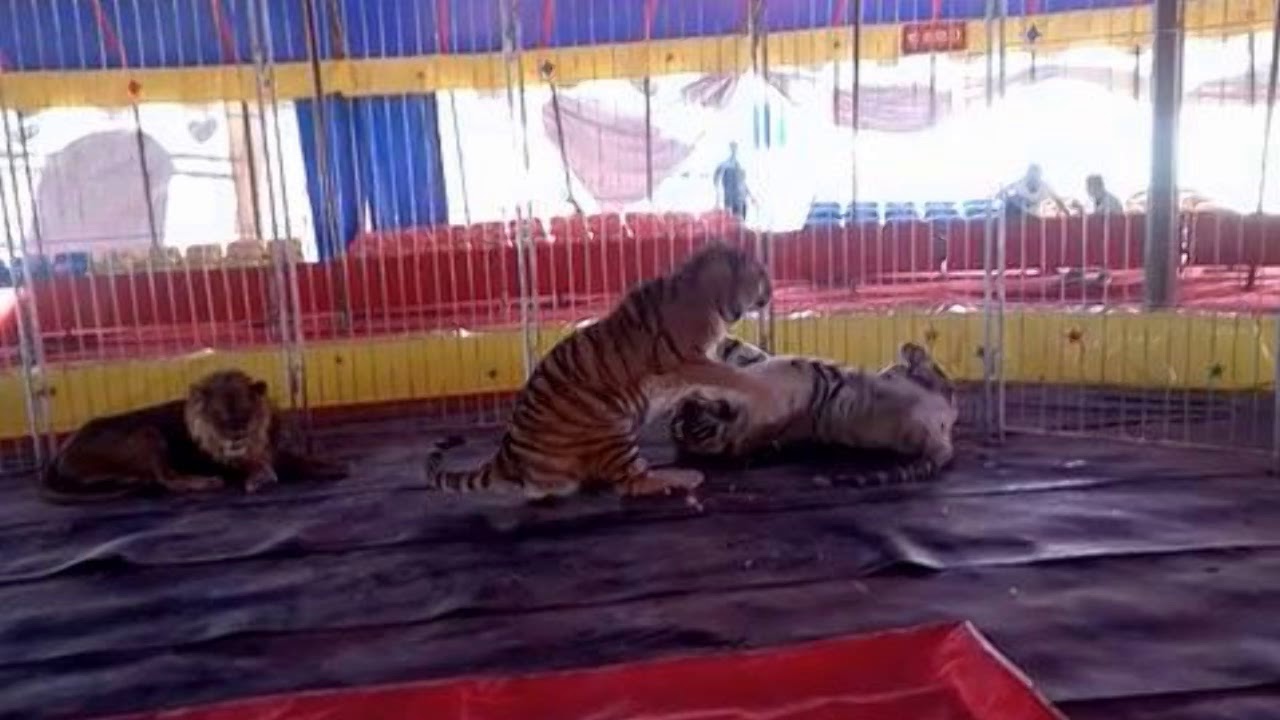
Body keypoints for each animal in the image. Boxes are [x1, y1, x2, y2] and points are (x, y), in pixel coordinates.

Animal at [40, 370, 347, 503]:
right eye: (219, 416)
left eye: (245, 413)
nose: (236, 437)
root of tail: (59, 453)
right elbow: (267, 469)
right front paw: (258, 480)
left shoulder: (275, 450)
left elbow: (302, 460)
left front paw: (334, 467)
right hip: (146, 433)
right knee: (167, 480)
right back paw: (206, 482)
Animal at [424, 242, 778, 499]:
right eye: (762, 274)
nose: (772, 292)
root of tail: (507, 454)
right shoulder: (687, 360)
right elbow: (732, 375)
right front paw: (763, 389)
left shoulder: (702, 360)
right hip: (609, 425)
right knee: (631, 482)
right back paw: (683, 477)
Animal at [669, 337, 958, 486]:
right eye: (701, 429)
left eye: (693, 418)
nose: (687, 406)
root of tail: (940, 436)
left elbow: (746, 355)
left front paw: (725, 345)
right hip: (921, 390)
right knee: (942, 384)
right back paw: (913, 353)